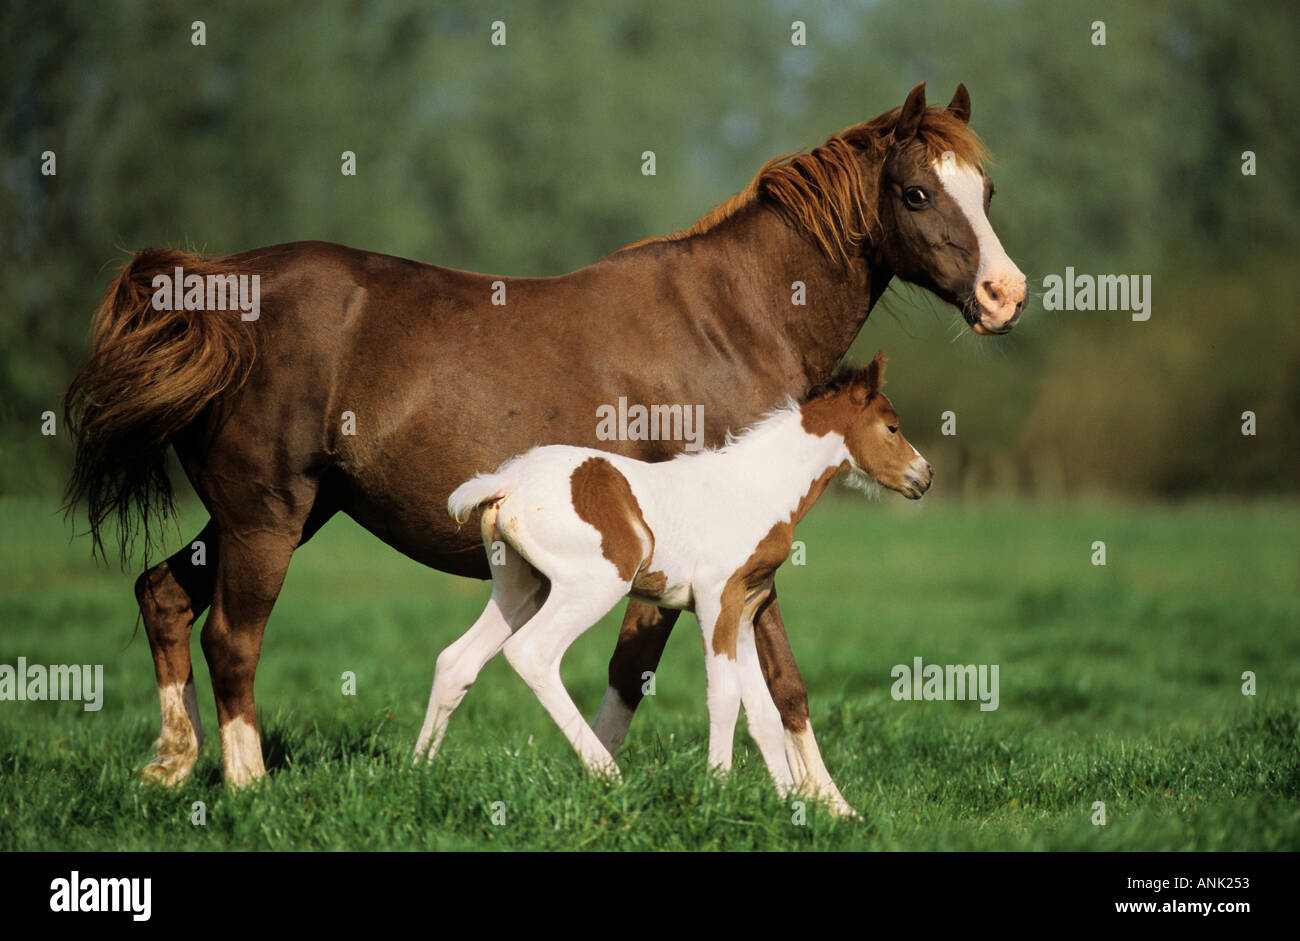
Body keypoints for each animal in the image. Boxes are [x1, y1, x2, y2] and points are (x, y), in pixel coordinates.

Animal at [420, 352, 929, 803]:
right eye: (892, 426)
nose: (924, 476)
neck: (757, 486)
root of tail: (510, 482)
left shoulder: (744, 610)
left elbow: (761, 709)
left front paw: (789, 802)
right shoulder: (716, 599)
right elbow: (724, 695)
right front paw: (717, 790)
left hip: (520, 587)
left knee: (456, 660)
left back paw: (418, 771)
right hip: (592, 588)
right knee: (532, 653)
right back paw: (611, 777)